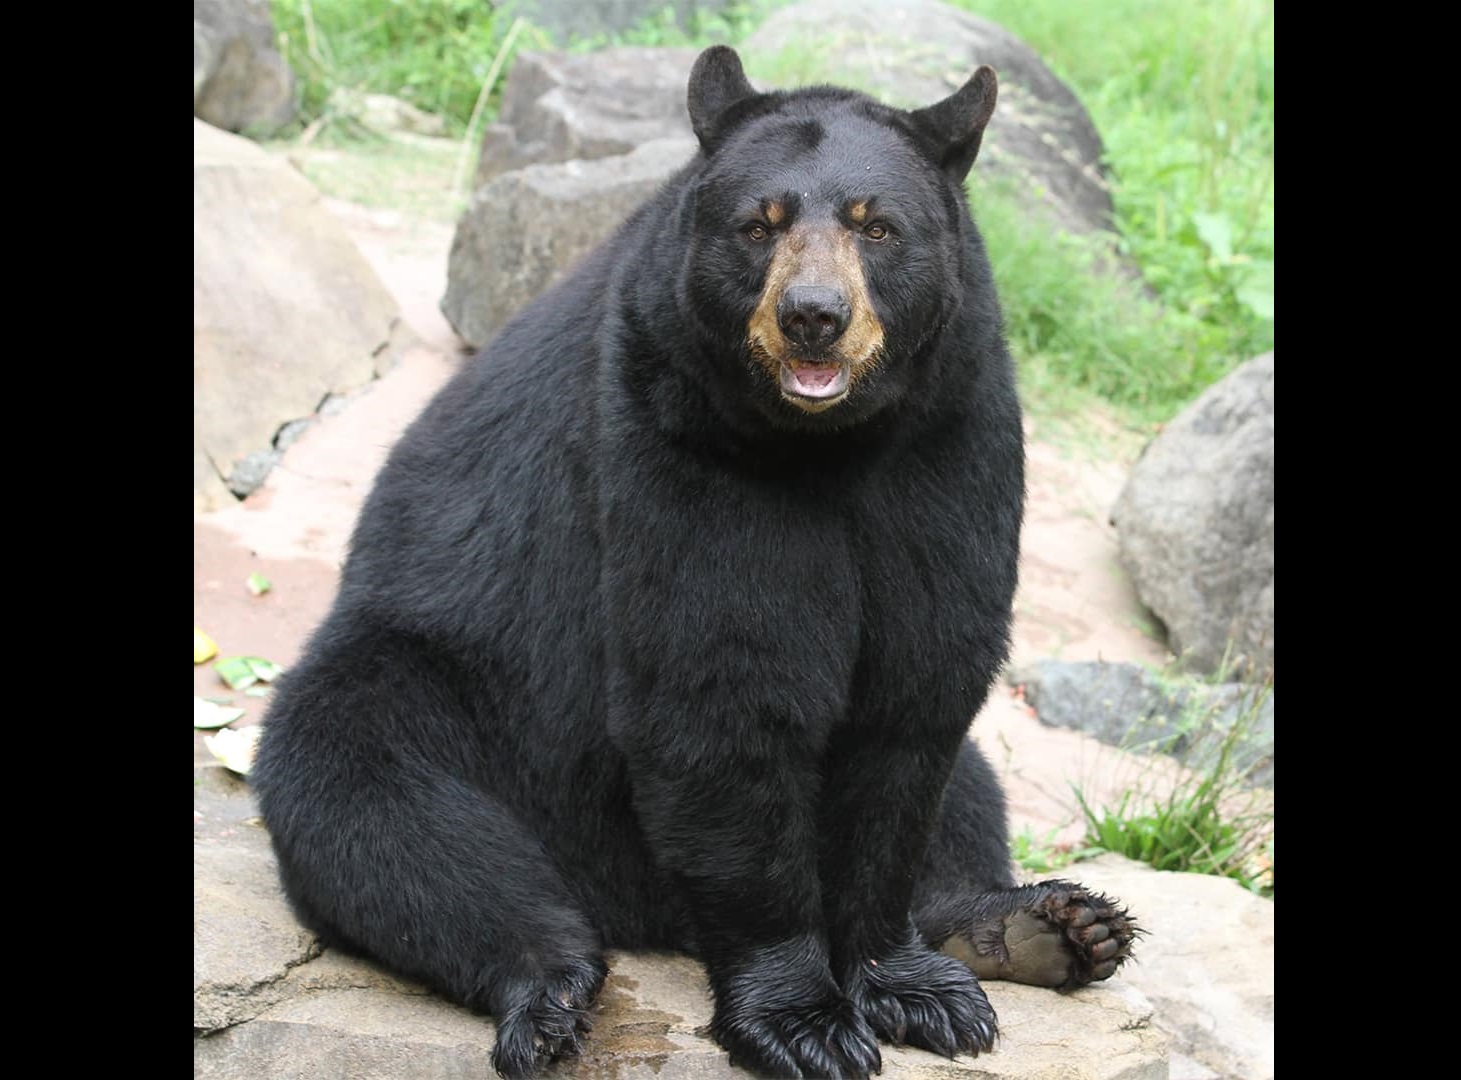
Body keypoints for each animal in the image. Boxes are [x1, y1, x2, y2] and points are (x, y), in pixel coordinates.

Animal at [250, 45, 1140, 1080]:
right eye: (760, 224)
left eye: (876, 225)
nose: (812, 316)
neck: (827, 444)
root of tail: (639, 908)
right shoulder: (675, 437)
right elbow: (720, 688)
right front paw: (802, 1018)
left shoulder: (950, 438)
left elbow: (914, 697)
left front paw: (911, 986)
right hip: (439, 683)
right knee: (378, 807)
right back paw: (547, 991)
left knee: (968, 788)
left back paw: (1042, 927)